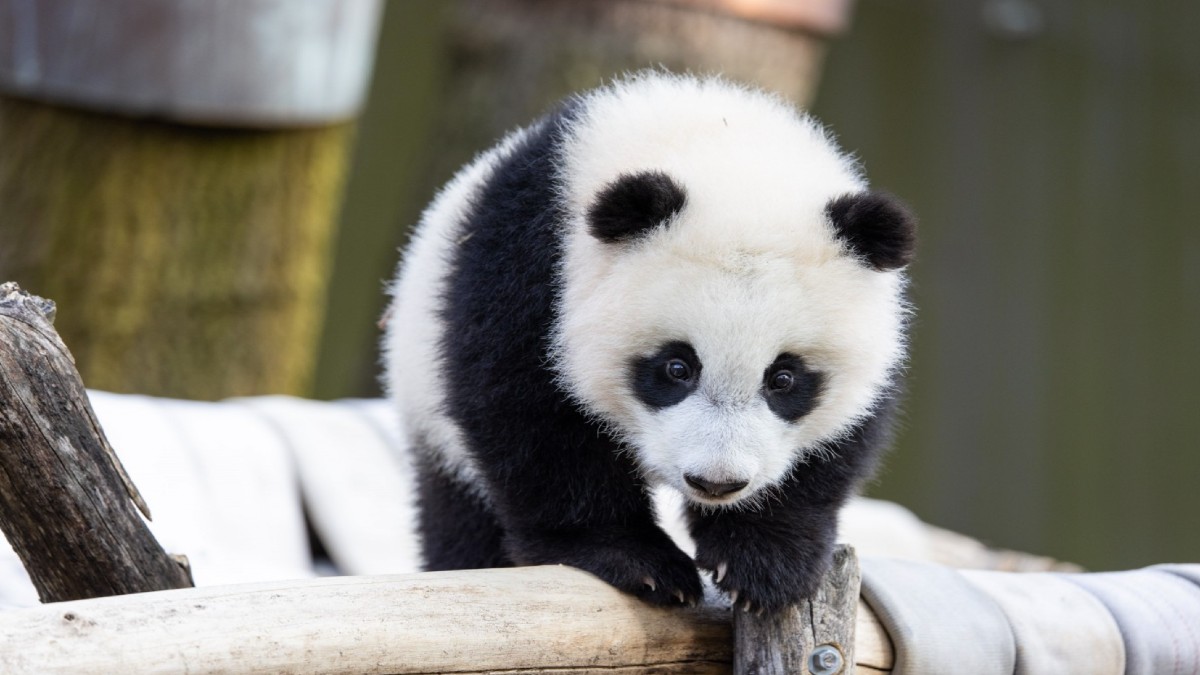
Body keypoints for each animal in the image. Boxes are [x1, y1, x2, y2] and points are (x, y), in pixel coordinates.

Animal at [383, 72, 915, 613]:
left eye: (783, 379)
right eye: (677, 368)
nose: (716, 483)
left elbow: (837, 444)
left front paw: (764, 560)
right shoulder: (530, 266)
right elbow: (528, 416)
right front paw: (639, 562)